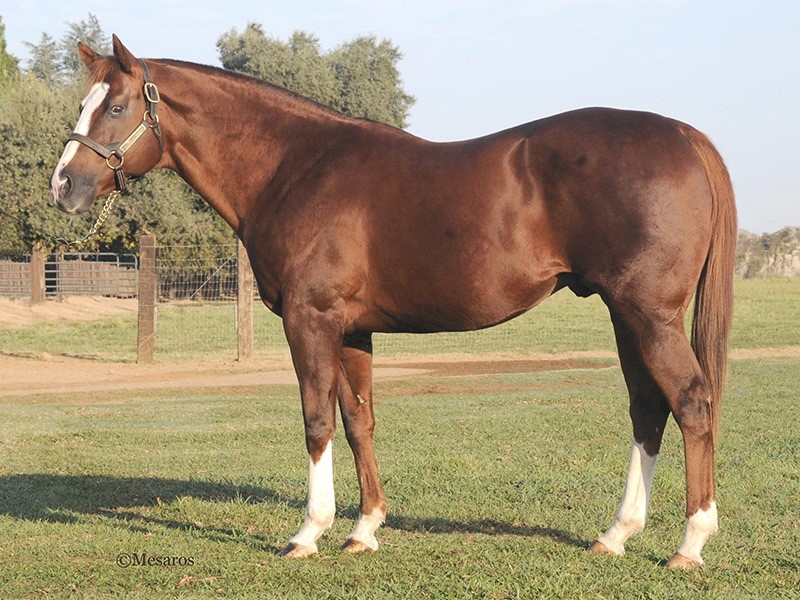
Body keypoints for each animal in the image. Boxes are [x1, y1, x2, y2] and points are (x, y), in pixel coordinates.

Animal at [51, 36, 736, 568]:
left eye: (116, 106)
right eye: (82, 105)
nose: (64, 186)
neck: (295, 167)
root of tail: (683, 134)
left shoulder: (310, 319)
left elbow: (317, 420)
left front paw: (309, 532)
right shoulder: (353, 330)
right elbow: (359, 420)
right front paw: (364, 529)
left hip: (648, 315)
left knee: (690, 402)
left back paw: (690, 543)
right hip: (626, 315)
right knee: (648, 409)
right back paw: (616, 535)